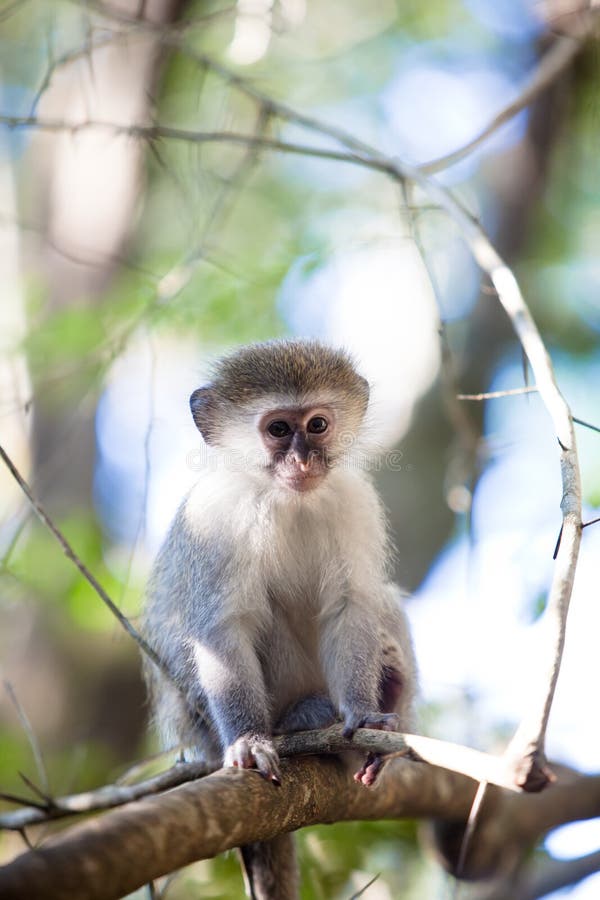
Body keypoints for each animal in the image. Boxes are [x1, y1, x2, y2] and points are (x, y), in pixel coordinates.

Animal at [142, 339, 417, 900]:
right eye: (277, 430)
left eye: (317, 425)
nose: (301, 459)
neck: (289, 500)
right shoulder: (215, 518)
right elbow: (222, 630)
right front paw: (250, 739)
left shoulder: (353, 500)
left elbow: (351, 605)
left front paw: (363, 712)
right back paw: (301, 719)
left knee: (380, 601)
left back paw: (388, 688)